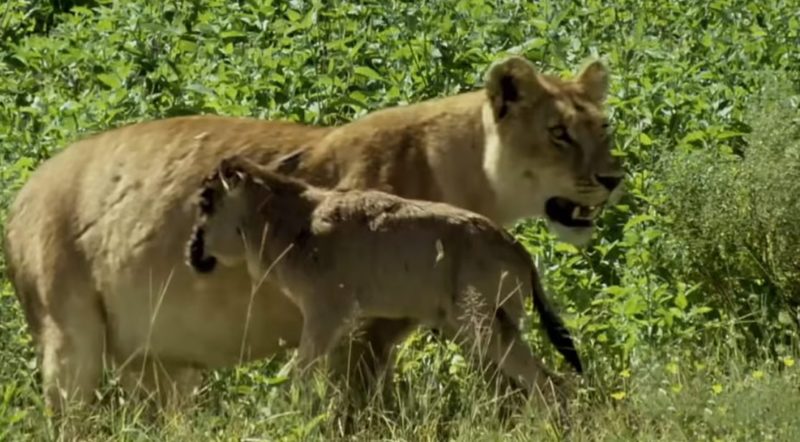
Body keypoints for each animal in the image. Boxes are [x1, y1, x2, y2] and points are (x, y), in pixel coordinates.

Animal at [186, 155, 582, 397]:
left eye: (206, 199)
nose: (192, 249)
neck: (293, 221)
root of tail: (520, 253)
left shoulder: (325, 315)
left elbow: (300, 373)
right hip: (476, 327)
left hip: (482, 325)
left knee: (547, 381)